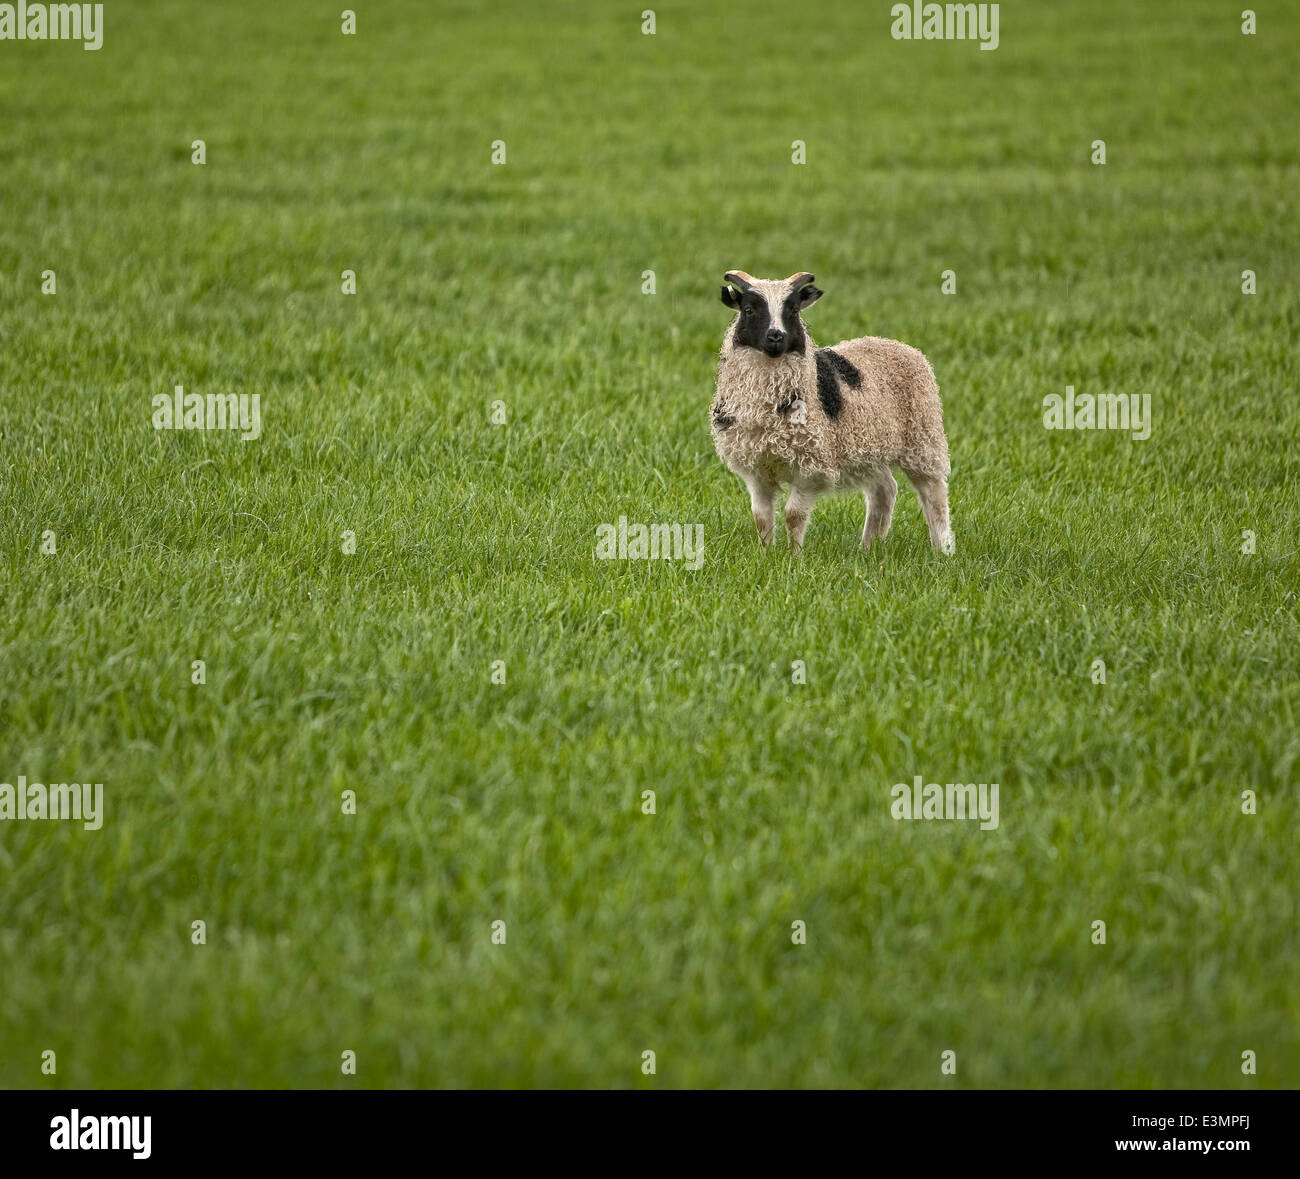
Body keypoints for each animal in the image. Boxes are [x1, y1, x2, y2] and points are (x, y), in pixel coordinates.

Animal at [711, 269, 954, 557]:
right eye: (748, 310)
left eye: (793, 310)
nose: (776, 336)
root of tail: (898, 345)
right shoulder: (756, 468)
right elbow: (761, 517)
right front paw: (766, 554)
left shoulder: (811, 467)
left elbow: (793, 515)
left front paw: (794, 557)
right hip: (868, 449)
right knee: (885, 490)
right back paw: (869, 548)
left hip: (923, 438)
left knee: (934, 493)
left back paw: (943, 549)